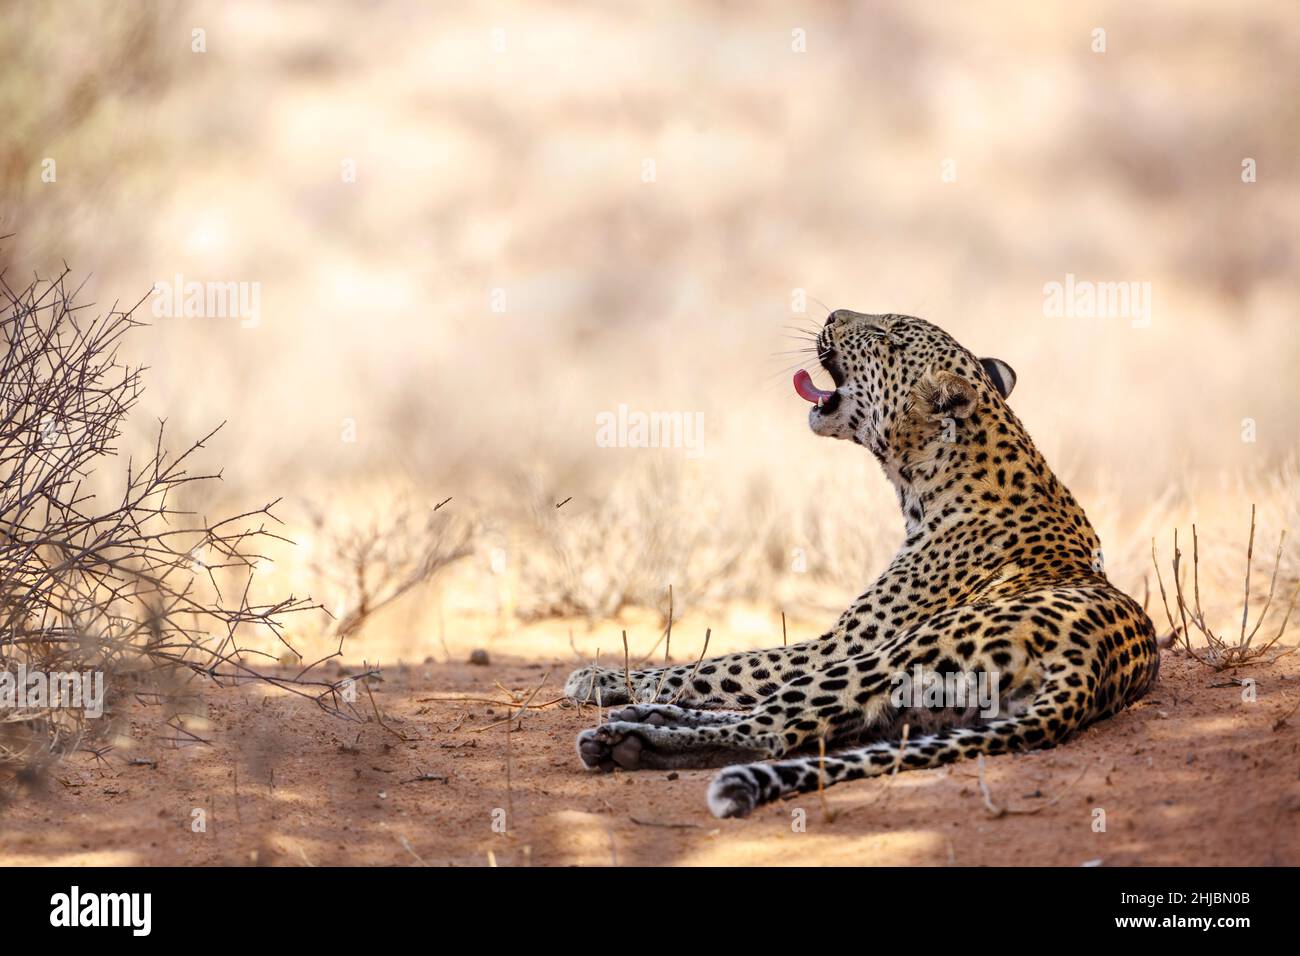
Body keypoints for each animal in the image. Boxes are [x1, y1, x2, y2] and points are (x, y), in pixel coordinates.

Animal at [563, 310, 1159, 818]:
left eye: (887, 336)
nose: (831, 315)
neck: (925, 481)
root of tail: (1090, 670)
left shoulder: (842, 643)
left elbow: (726, 664)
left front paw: (596, 676)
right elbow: (728, 664)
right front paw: (620, 687)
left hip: (892, 656)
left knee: (773, 729)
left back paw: (626, 740)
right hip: (918, 710)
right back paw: (642, 721)